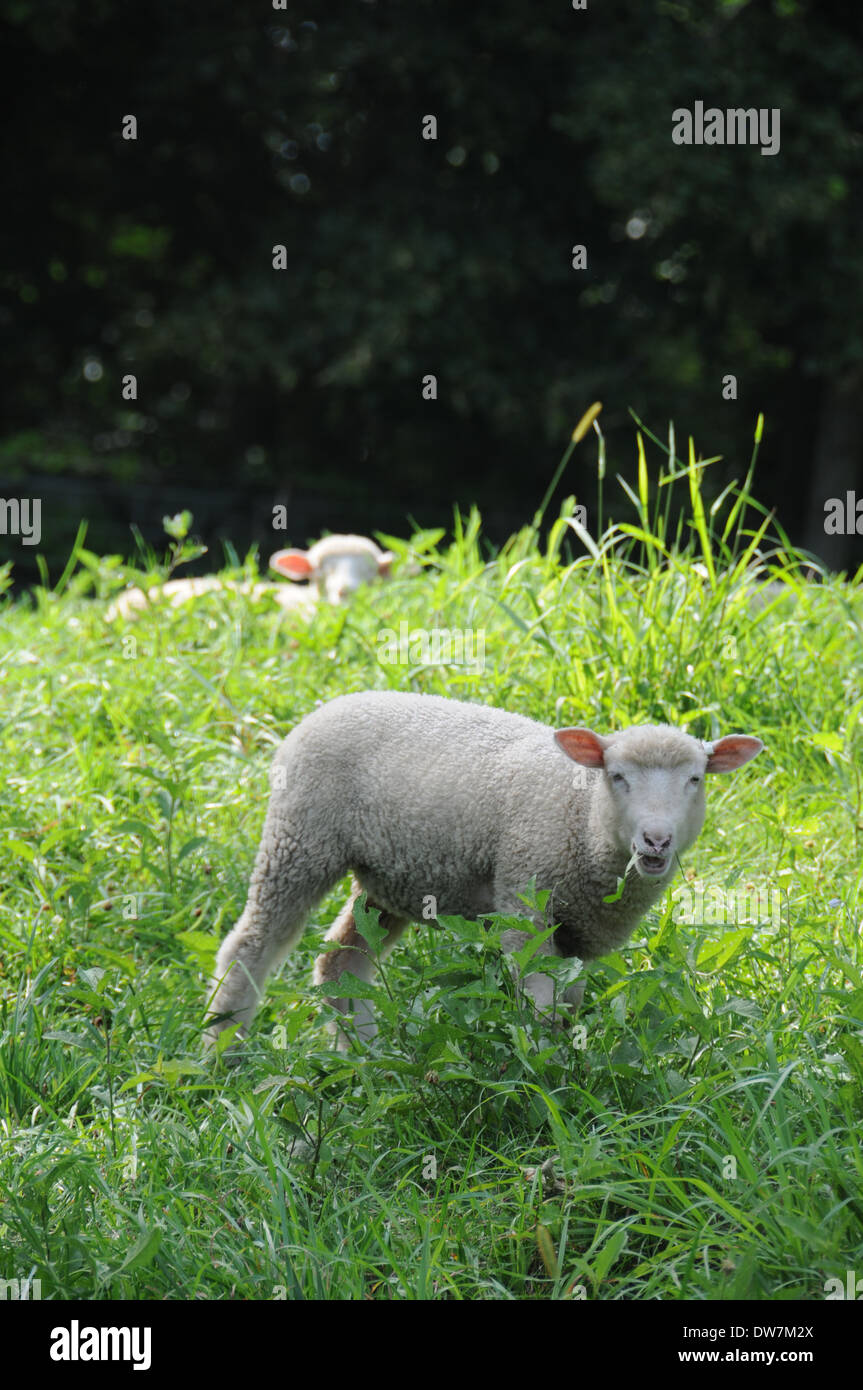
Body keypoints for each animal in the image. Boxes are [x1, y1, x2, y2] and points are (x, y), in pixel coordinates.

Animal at [205, 692, 763, 1052]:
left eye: (695, 779)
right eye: (618, 777)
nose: (656, 840)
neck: (581, 818)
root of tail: (328, 705)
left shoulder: (580, 933)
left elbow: (569, 1005)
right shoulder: (523, 898)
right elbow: (540, 1002)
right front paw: (543, 1077)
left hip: (390, 876)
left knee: (341, 962)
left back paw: (366, 1058)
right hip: (300, 838)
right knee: (251, 945)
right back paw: (222, 1052)